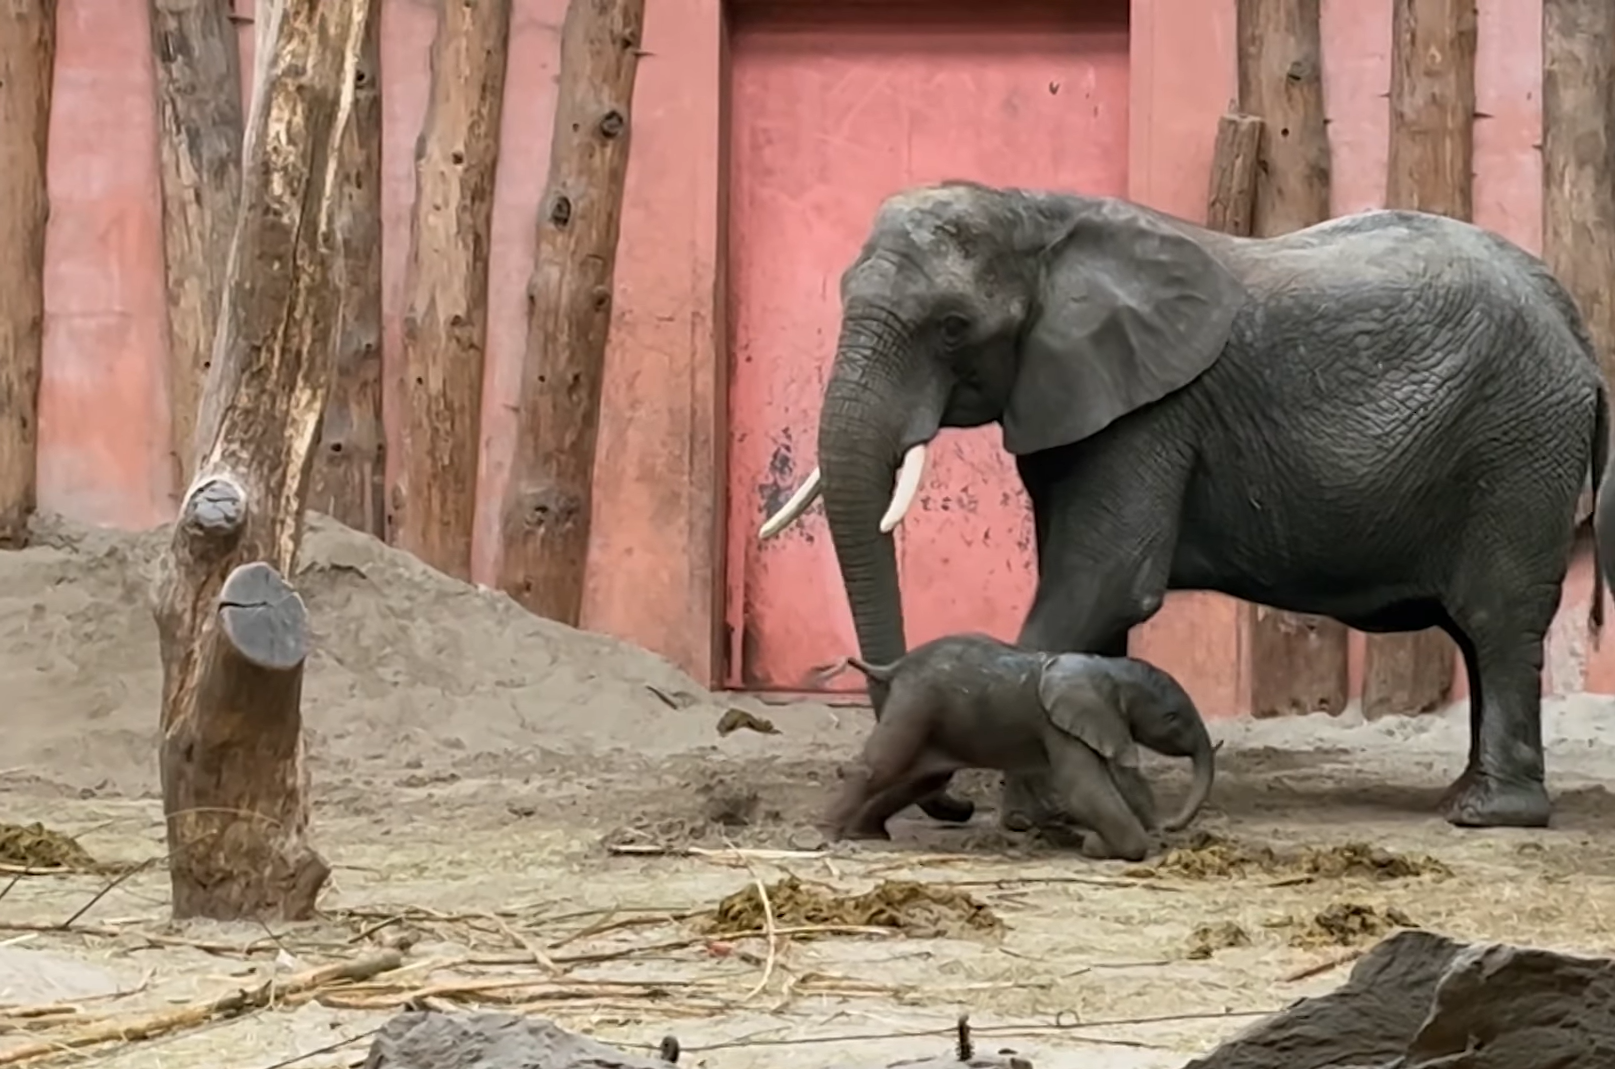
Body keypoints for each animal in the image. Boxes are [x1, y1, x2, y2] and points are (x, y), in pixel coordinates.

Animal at [760, 180, 1608, 832]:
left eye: (952, 326)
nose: (947, 806)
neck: (1037, 215)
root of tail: (1580, 336)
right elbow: (1092, 603)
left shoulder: (1153, 415)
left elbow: (1102, 582)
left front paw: (1032, 816)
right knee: (1478, 632)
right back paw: (1463, 795)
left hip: (1515, 446)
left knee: (1495, 621)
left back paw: (1484, 814)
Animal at [815, 632, 1217, 860]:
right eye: (1172, 718)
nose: (1169, 826)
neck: (1107, 668)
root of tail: (894, 666)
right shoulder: (1060, 725)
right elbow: (1083, 791)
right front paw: (1097, 848)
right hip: (916, 702)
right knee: (881, 767)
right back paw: (821, 838)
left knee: (921, 780)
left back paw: (866, 834)